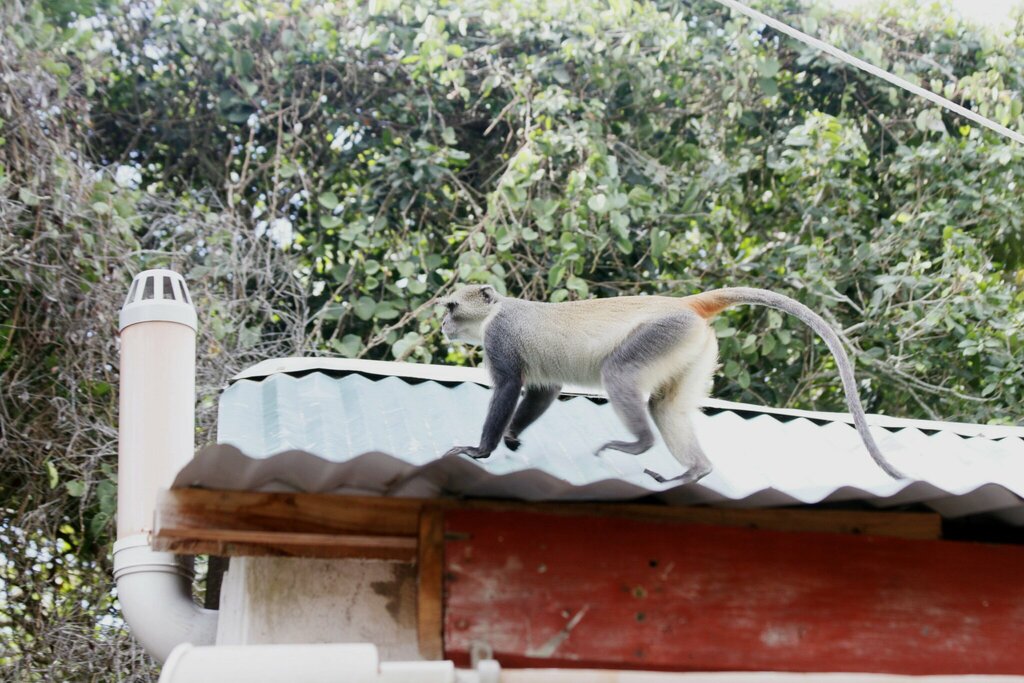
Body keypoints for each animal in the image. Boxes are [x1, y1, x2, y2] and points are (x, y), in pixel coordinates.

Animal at [436, 284, 904, 484]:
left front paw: (481, 450)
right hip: (690, 345)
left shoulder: (500, 338)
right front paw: (513, 436)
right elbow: (543, 390)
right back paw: (695, 471)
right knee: (665, 407)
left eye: (451, 307)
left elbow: (508, 387)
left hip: (663, 333)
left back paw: (640, 443)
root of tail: (682, 304)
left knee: (619, 374)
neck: (498, 311)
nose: (442, 324)